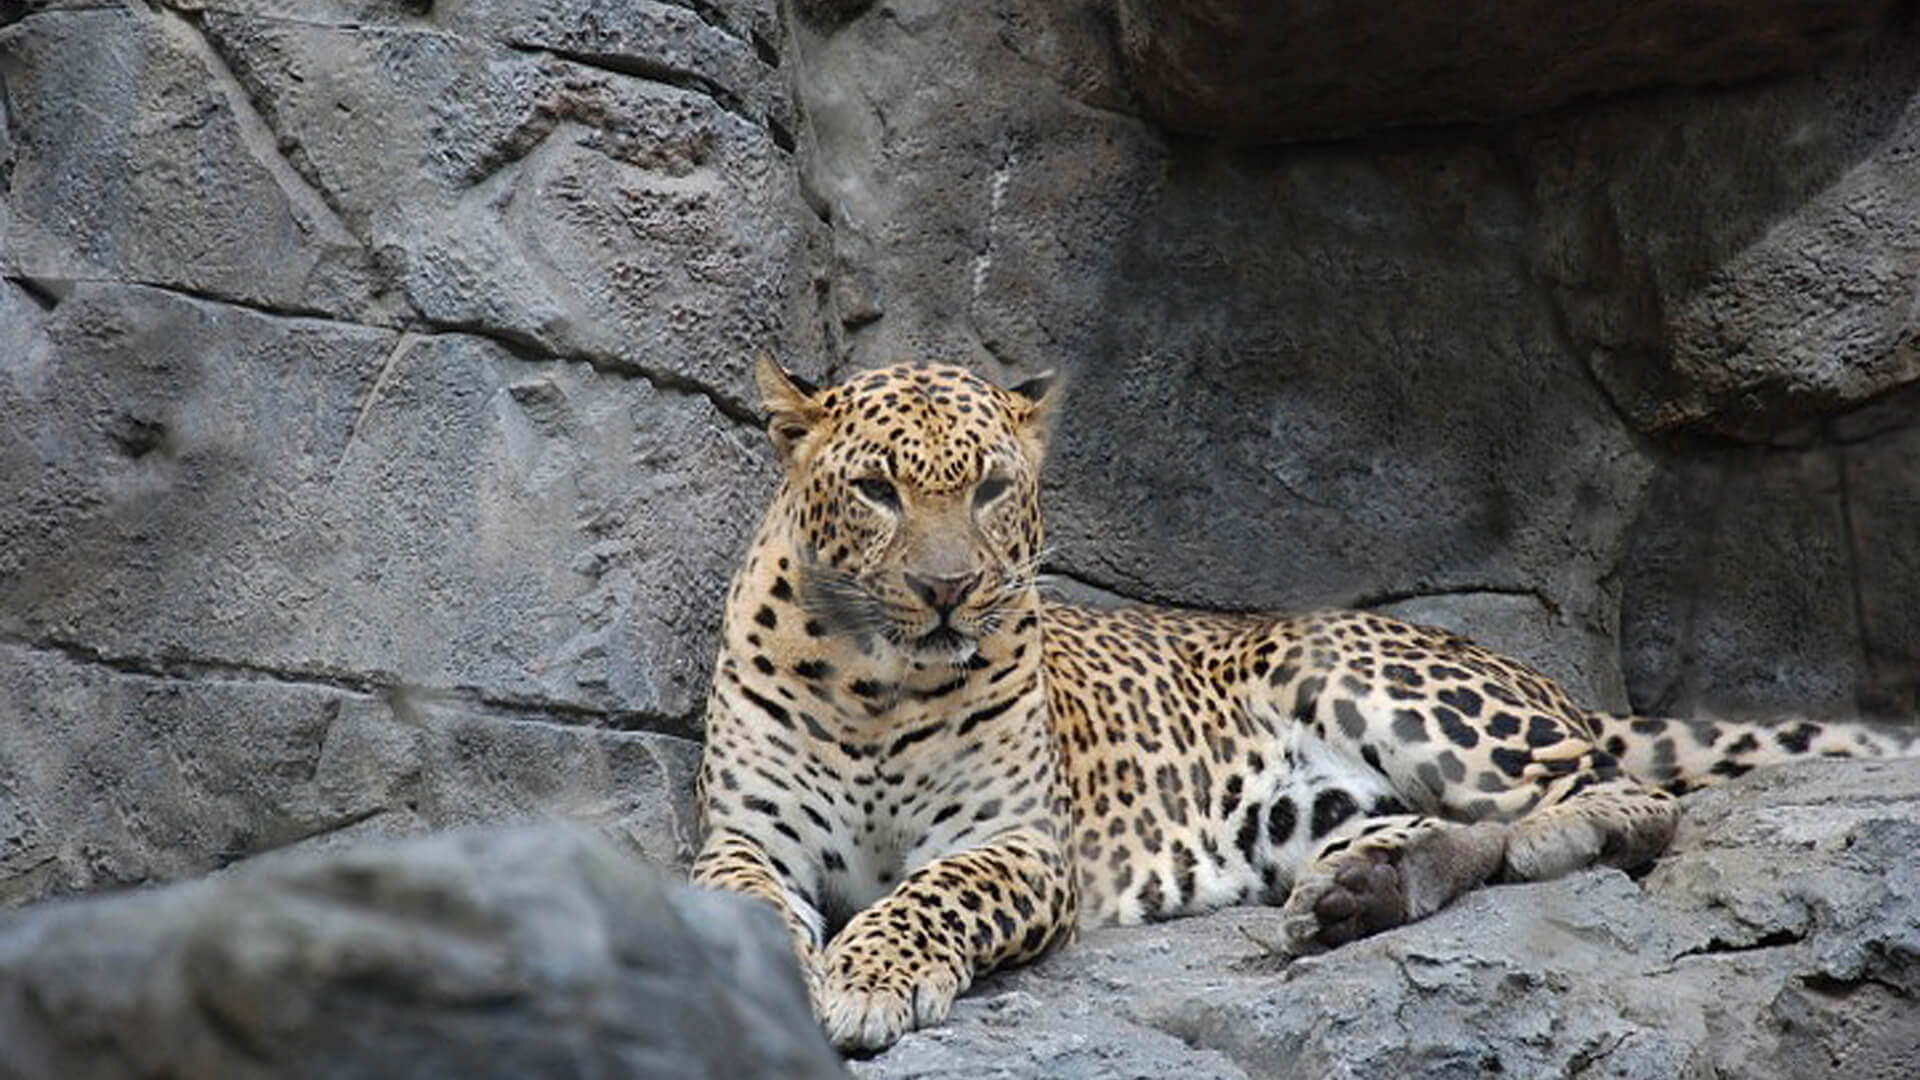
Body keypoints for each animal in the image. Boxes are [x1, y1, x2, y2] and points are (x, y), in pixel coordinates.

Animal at [691, 356, 1917, 1053]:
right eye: (876, 489)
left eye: (992, 489)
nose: (949, 589)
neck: (877, 687)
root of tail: (1553, 683)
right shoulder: (745, 840)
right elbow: (740, 907)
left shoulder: (1018, 842)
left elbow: (930, 897)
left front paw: (866, 981)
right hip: (1308, 809)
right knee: (1452, 834)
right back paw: (1358, 897)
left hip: (1354, 669)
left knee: (1619, 795)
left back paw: (1566, 829)